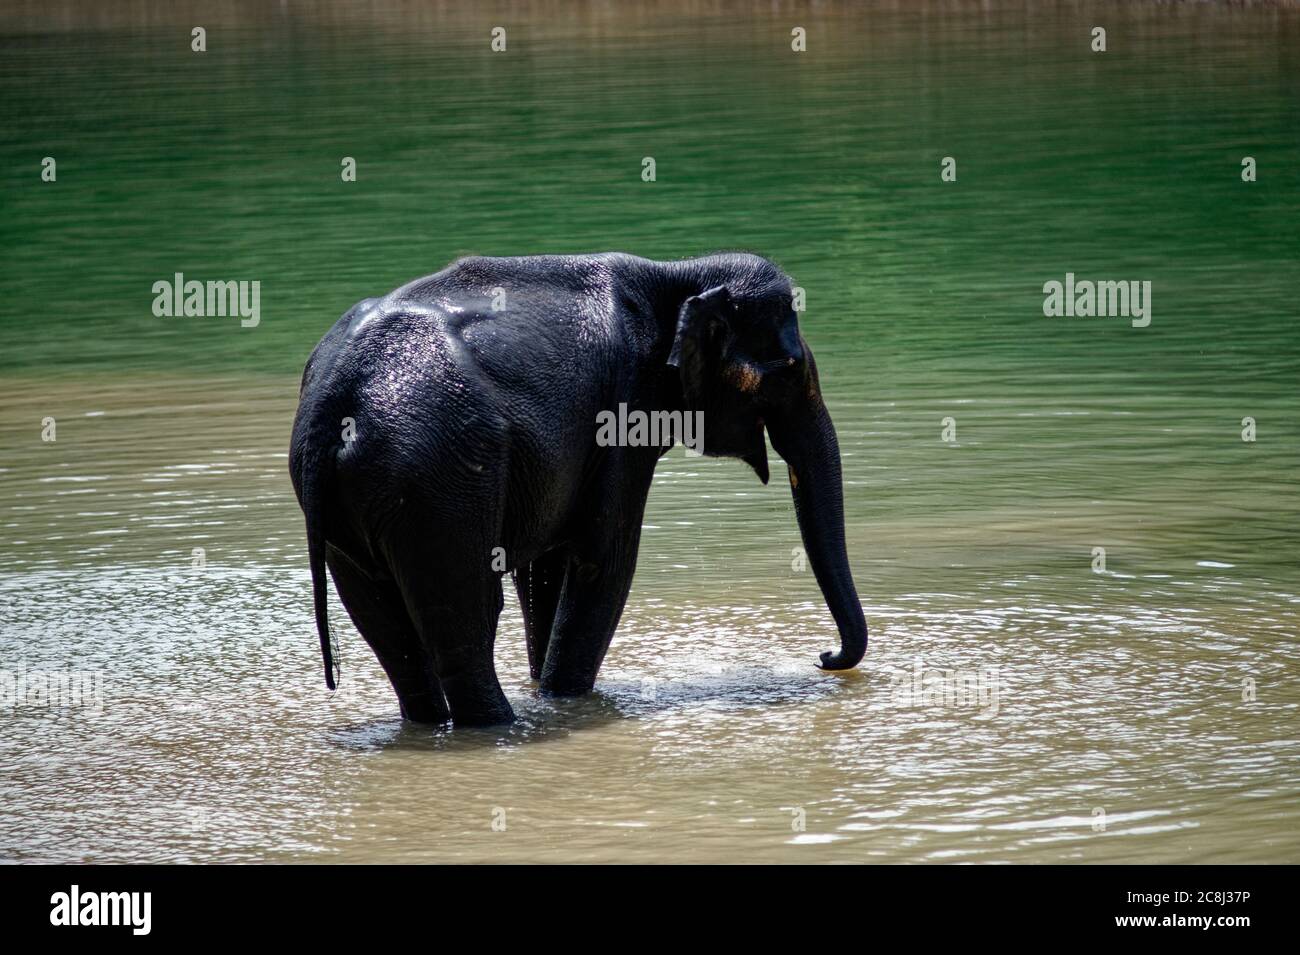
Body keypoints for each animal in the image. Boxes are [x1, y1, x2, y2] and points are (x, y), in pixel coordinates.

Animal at [288, 252, 868, 726]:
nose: (823, 657)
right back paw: (502, 727)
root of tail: (336, 398)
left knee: (382, 621)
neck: (678, 275)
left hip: (359, 499)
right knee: (466, 612)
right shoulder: (623, 411)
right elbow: (604, 561)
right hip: (438, 481)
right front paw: (564, 700)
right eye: (790, 368)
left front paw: (548, 692)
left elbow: (545, 572)